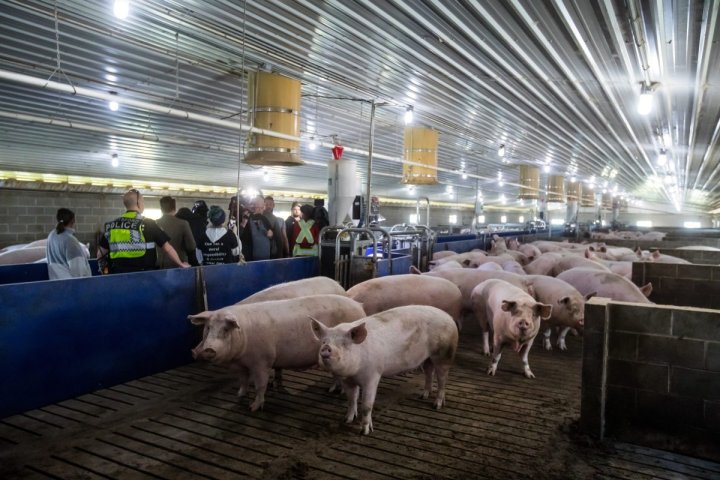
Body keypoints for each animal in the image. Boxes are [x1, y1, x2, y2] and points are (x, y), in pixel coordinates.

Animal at [189, 294, 366, 411]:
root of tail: (358, 305)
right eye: (208, 328)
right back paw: (331, 390)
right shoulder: (241, 365)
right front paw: (239, 396)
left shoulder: (262, 361)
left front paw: (253, 408)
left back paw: (338, 392)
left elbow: (260, 385)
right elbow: (243, 381)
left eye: (225, 330)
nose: (208, 349)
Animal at [311, 305, 458, 435]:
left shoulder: (372, 376)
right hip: (427, 358)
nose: (326, 348)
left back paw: (436, 405)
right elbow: (351, 399)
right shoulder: (348, 380)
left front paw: (365, 431)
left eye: (344, 344)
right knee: (429, 371)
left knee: (442, 379)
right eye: (324, 341)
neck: (354, 372)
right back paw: (423, 396)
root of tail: (449, 317)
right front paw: (347, 420)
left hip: (444, 354)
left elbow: (367, 406)